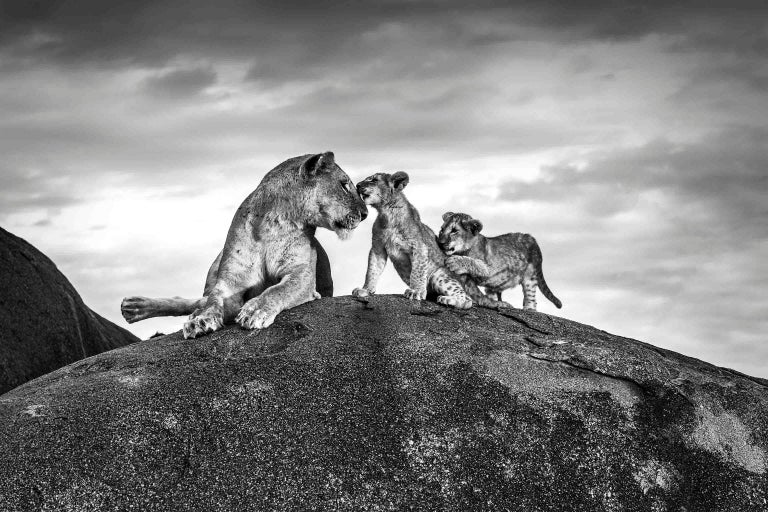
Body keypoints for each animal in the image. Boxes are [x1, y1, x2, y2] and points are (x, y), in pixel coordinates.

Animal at [121, 152, 368, 338]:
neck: (274, 224)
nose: (365, 214)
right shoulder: (230, 282)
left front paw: (255, 311)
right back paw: (136, 306)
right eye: (344, 185)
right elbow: (213, 301)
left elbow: (277, 290)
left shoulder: (301, 275)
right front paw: (200, 321)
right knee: (200, 299)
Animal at [352, 172, 472, 309]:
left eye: (374, 180)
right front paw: (365, 289)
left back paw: (447, 300)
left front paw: (416, 291)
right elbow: (372, 270)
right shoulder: (378, 247)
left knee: (467, 299)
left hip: (439, 274)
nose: (357, 185)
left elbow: (417, 271)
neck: (386, 213)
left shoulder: (419, 246)